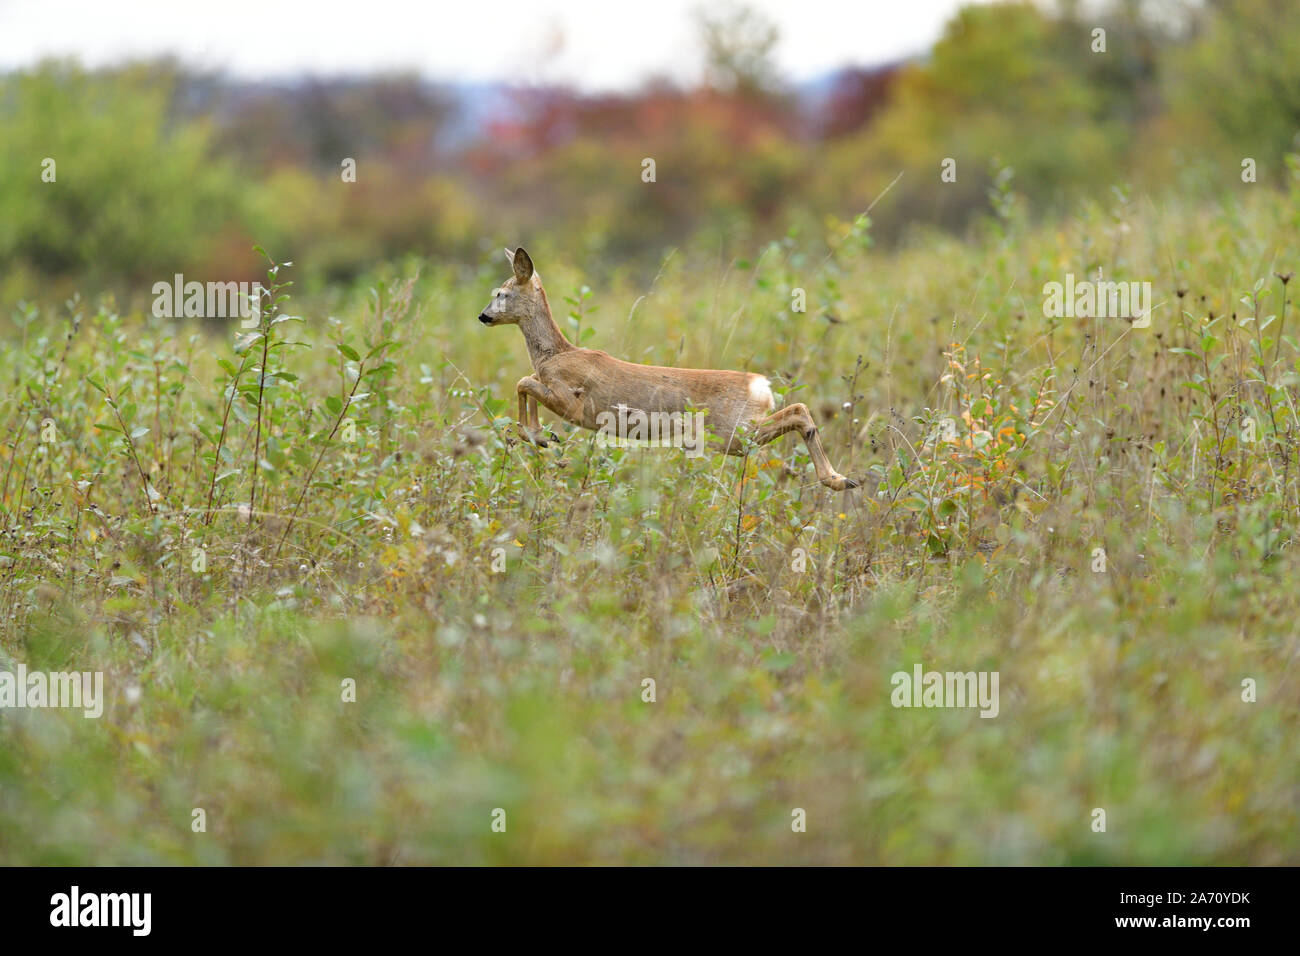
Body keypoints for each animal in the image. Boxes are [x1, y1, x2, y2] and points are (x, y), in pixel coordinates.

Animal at [477, 248, 858, 491]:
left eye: (501, 293)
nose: (483, 315)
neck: (554, 355)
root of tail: (761, 385)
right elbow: (525, 382)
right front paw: (539, 436)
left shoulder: (573, 402)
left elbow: (523, 381)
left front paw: (538, 435)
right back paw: (842, 479)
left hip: (732, 431)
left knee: (798, 411)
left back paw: (838, 480)